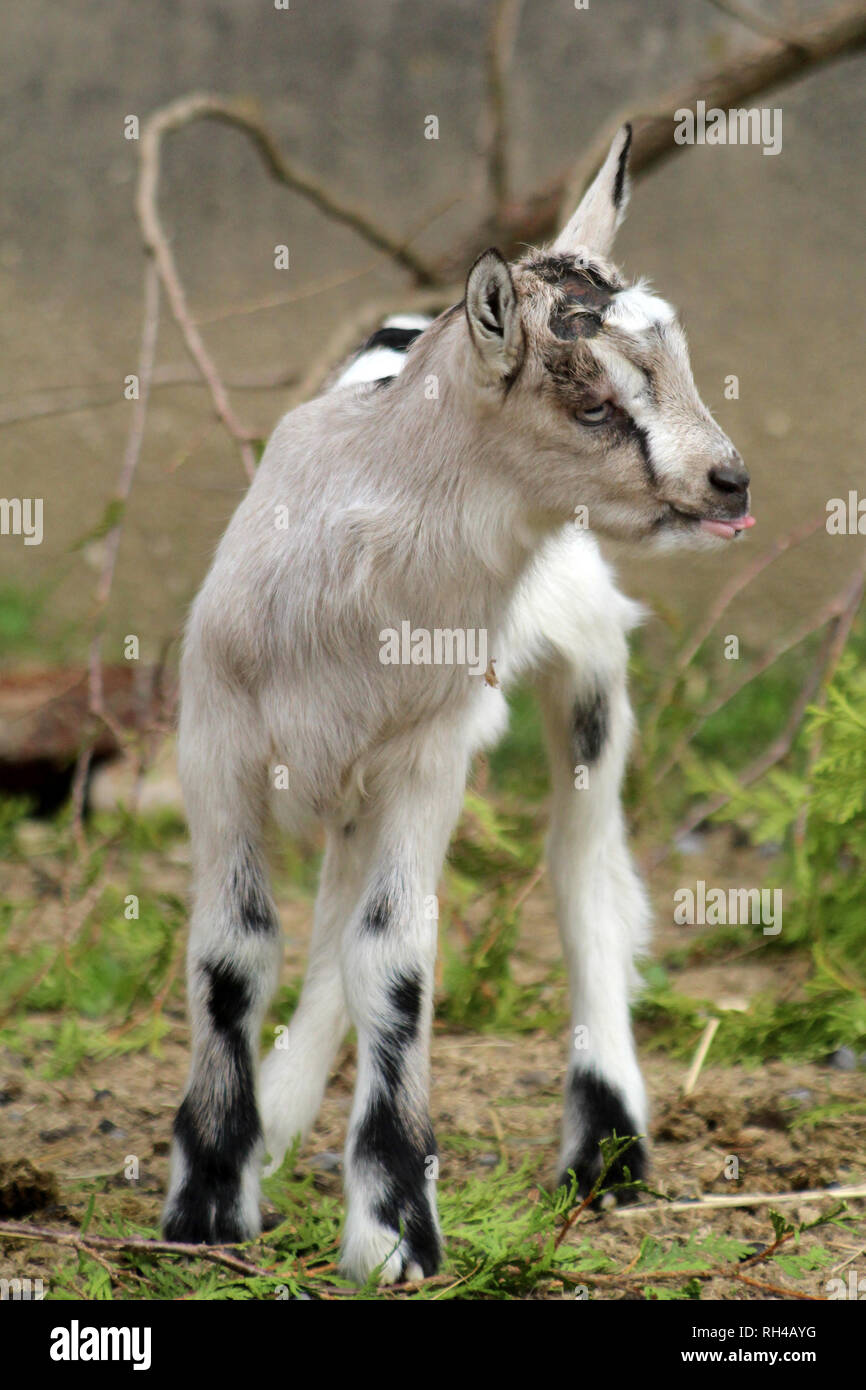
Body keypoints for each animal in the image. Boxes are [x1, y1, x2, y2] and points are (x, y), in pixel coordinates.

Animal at [163, 125, 753, 1282]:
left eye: (679, 363)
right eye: (592, 404)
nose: (728, 482)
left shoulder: (427, 754)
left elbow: (395, 963)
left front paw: (393, 1229)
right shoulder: (219, 743)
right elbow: (234, 952)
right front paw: (209, 1200)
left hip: (585, 667)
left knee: (581, 878)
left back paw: (606, 1149)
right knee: (334, 913)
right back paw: (280, 1123)